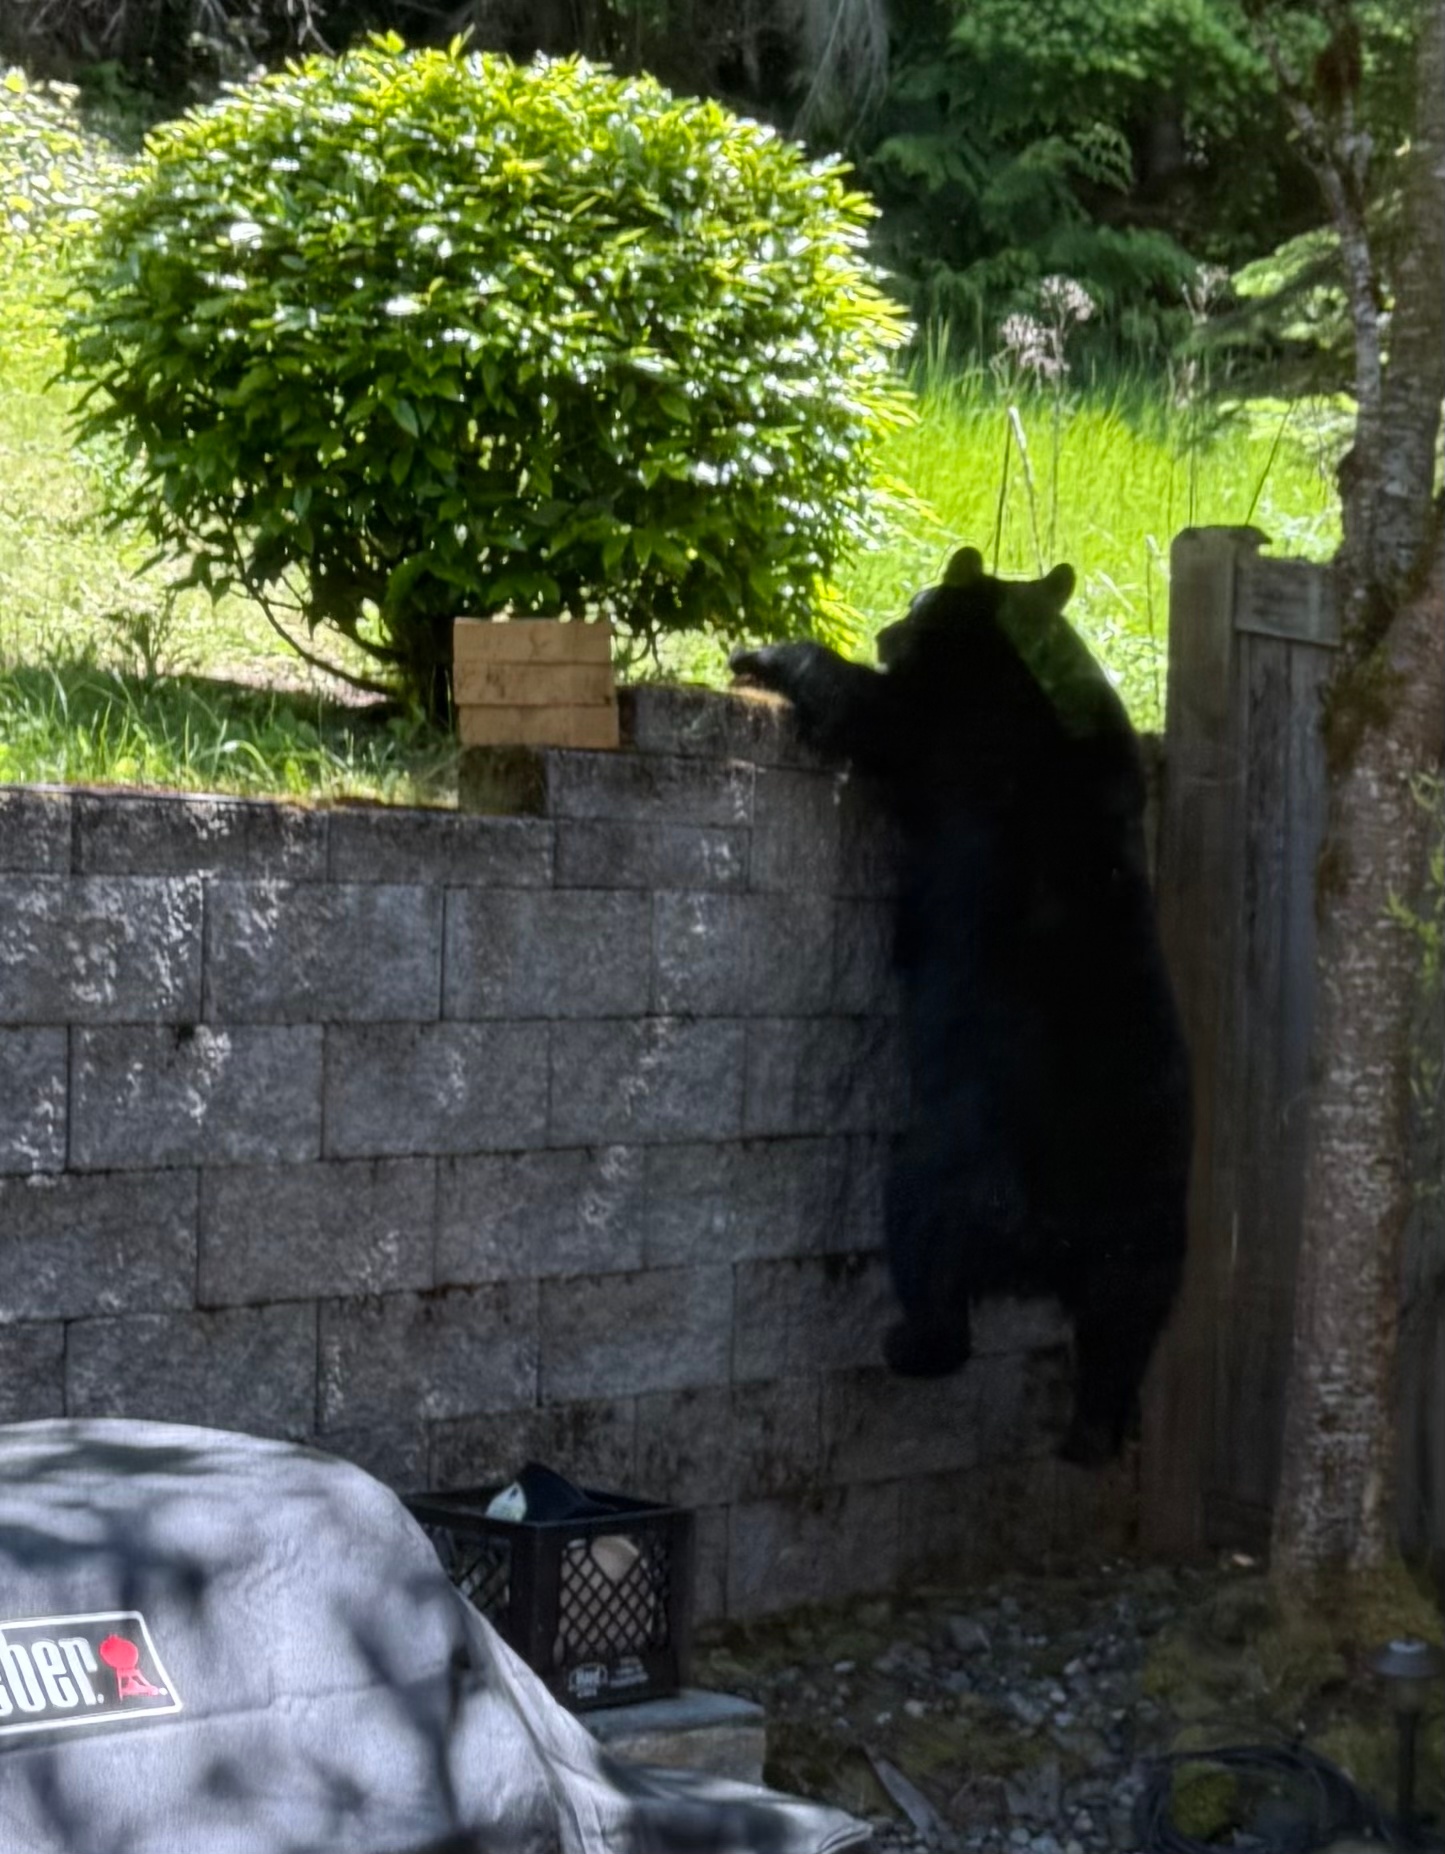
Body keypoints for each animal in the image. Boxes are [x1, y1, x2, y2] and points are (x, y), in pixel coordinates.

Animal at [730, 546, 1191, 1465]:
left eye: (912, 600)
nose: (885, 626)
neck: (1030, 668)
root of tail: (1060, 1232)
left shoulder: (951, 730)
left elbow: (867, 712)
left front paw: (763, 652)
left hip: (955, 1169)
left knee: (928, 1251)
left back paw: (908, 1344)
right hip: (1149, 1233)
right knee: (1123, 1333)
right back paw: (1094, 1434)